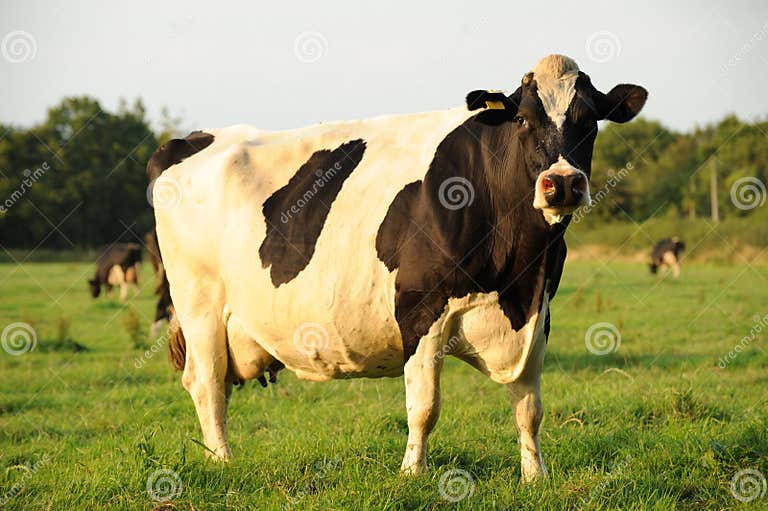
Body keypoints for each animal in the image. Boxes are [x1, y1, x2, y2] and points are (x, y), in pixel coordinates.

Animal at [151, 54, 647, 480]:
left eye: (590, 121)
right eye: (523, 118)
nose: (562, 183)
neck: (518, 269)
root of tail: (191, 139)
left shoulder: (537, 311)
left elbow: (529, 407)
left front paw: (534, 477)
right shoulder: (420, 308)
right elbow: (424, 405)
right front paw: (413, 472)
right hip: (199, 304)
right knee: (207, 383)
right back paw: (221, 460)